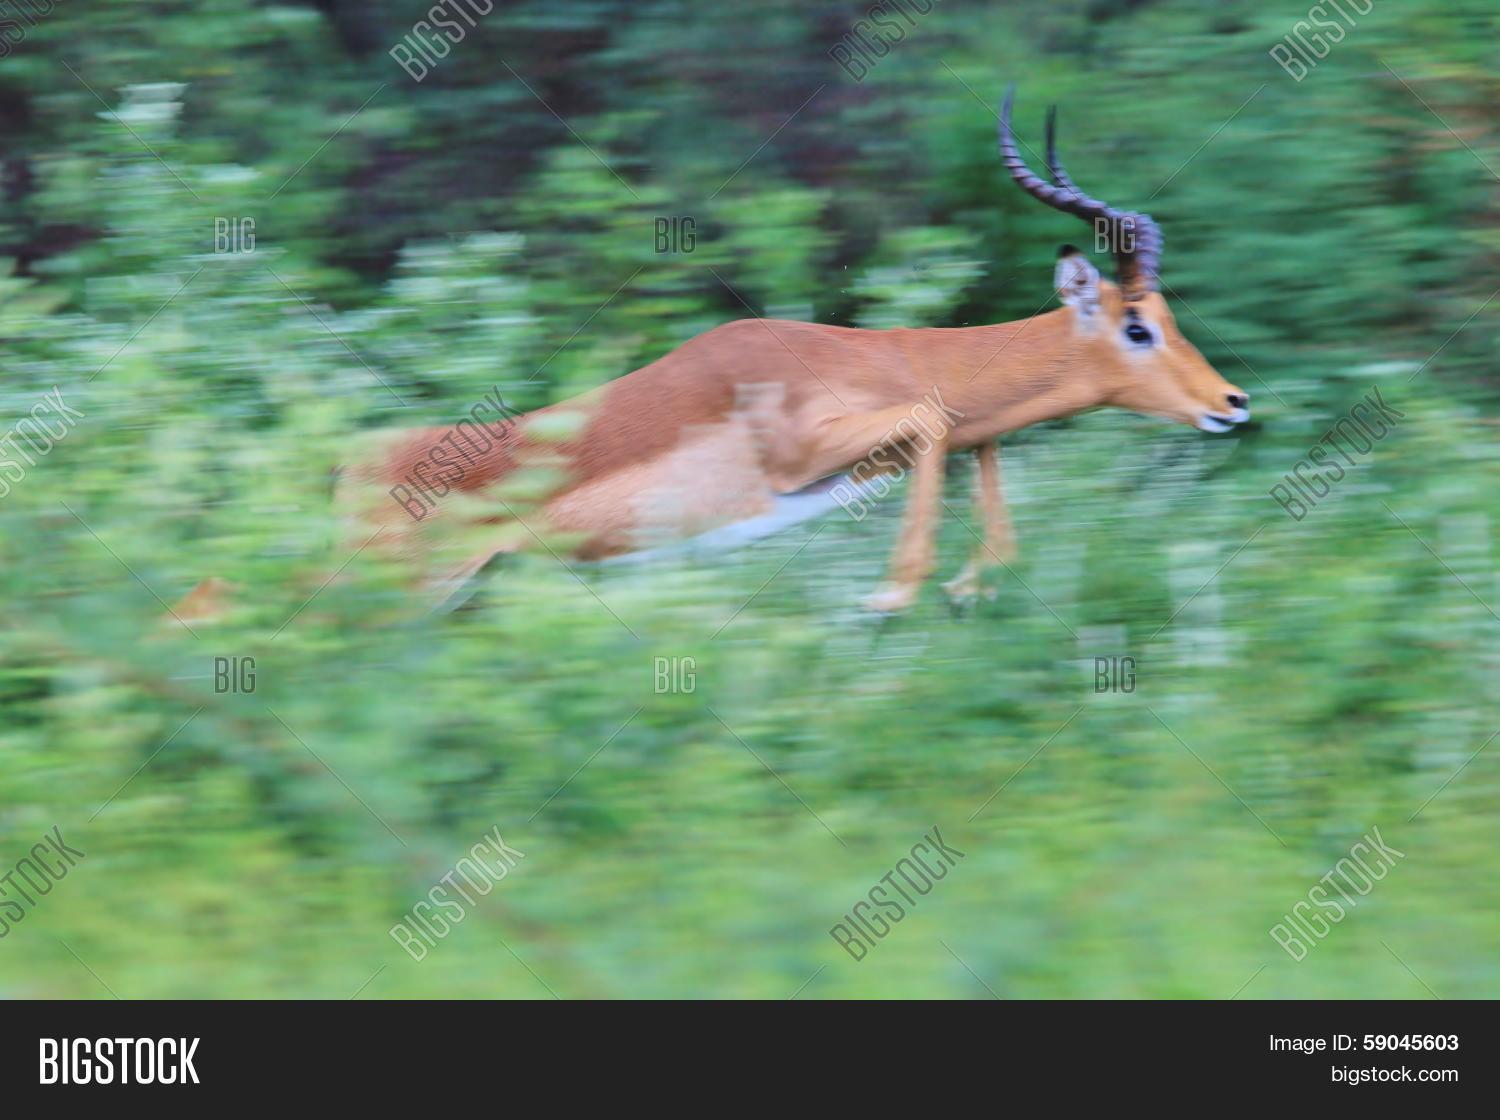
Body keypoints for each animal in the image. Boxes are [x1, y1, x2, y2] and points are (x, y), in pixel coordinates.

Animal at [178, 88, 1250, 625]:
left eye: (1169, 312)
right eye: (1137, 324)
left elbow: (979, 464)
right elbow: (938, 422)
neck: (891, 355)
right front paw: (890, 593)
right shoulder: (804, 456)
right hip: (379, 583)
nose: (1233, 403)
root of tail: (347, 463)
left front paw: (962, 586)